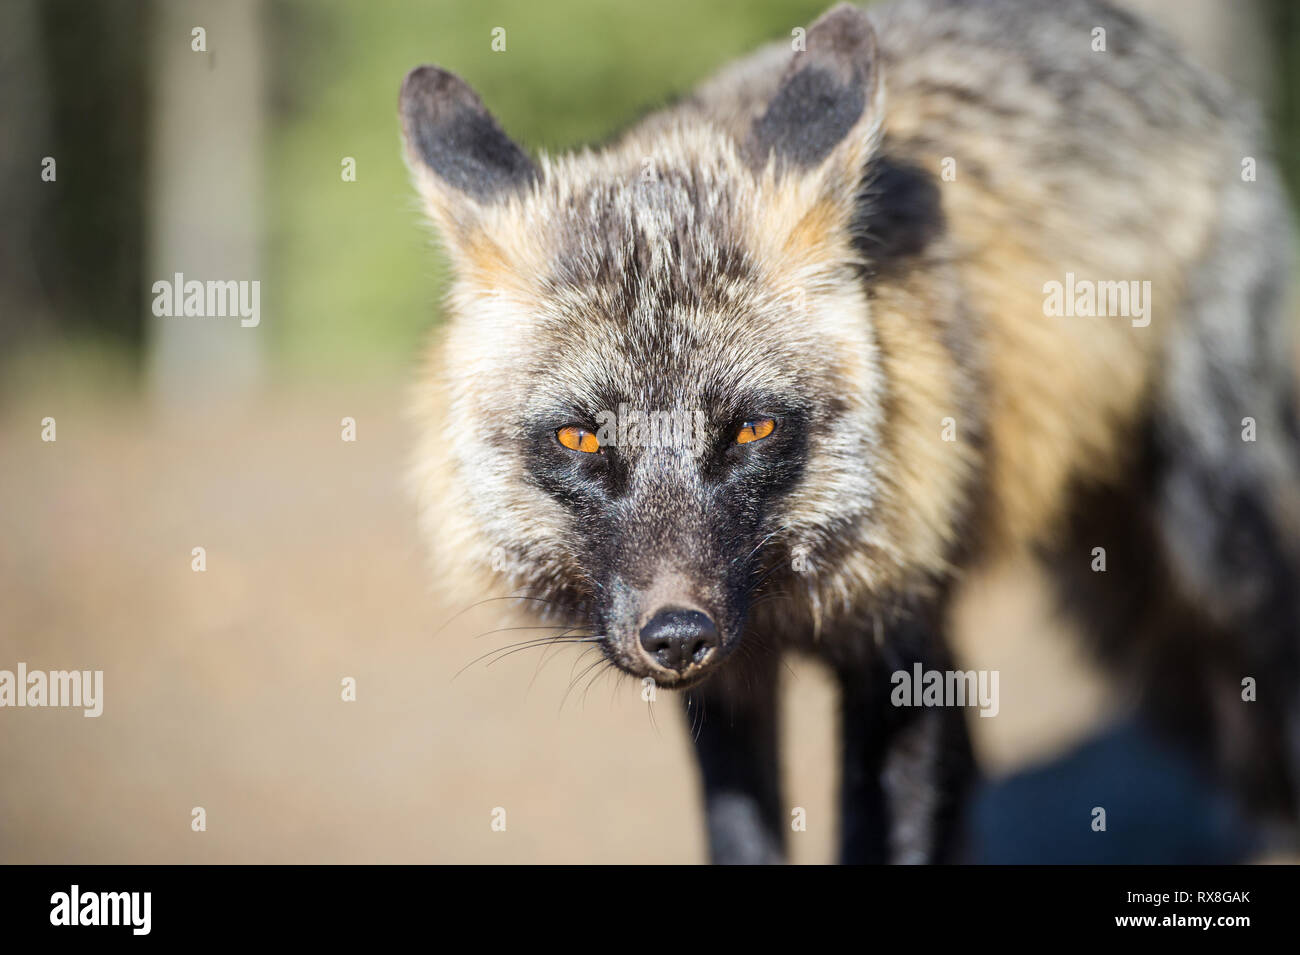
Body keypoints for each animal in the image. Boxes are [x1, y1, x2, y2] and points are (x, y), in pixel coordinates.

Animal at [400, 0, 1300, 863]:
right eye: (581, 439)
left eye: (752, 428)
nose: (678, 635)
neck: (784, 604)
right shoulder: (741, 682)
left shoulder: (896, 645)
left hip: (1219, 538)